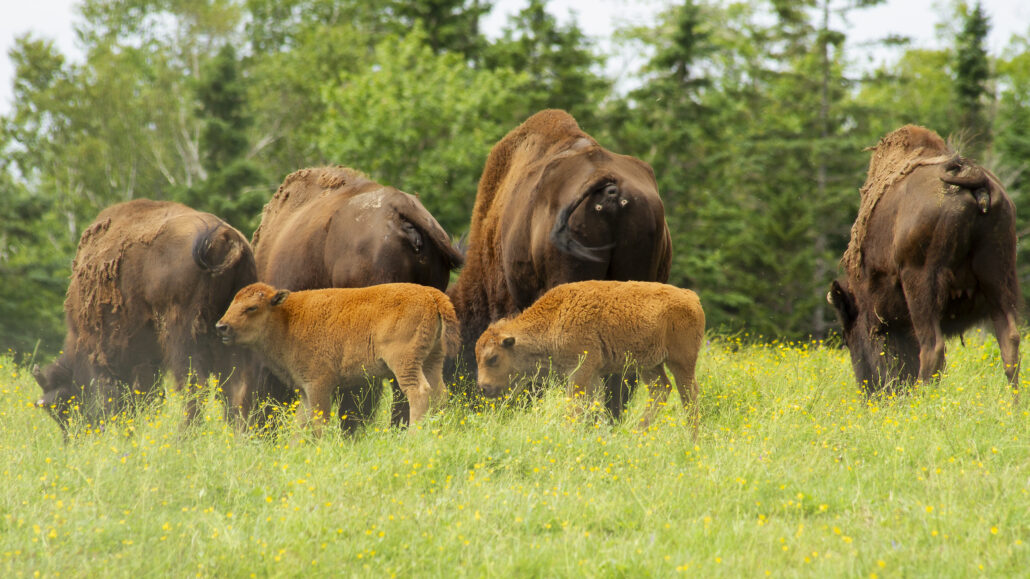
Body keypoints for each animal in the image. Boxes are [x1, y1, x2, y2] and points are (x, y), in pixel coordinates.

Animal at [829, 125, 1020, 396]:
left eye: (848, 338)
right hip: (999, 274)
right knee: (1010, 342)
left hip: (921, 283)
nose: (870, 394)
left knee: (933, 349)